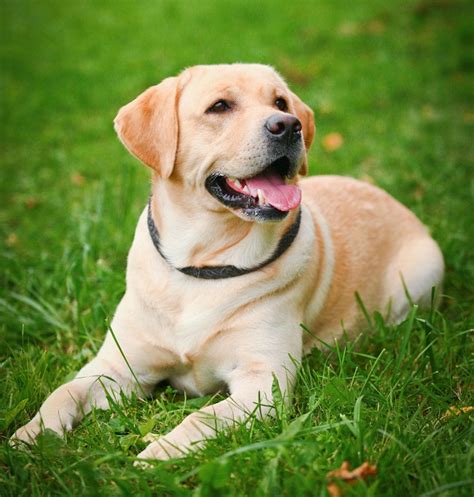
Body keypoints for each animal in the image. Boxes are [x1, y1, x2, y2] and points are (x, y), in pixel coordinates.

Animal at [11, 63, 444, 462]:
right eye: (220, 106)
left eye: (281, 103)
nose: (289, 126)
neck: (203, 265)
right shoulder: (117, 367)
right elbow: (63, 392)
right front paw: (30, 436)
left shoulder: (263, 384)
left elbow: (200, 417)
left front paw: (159, 453)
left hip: (423, 271)